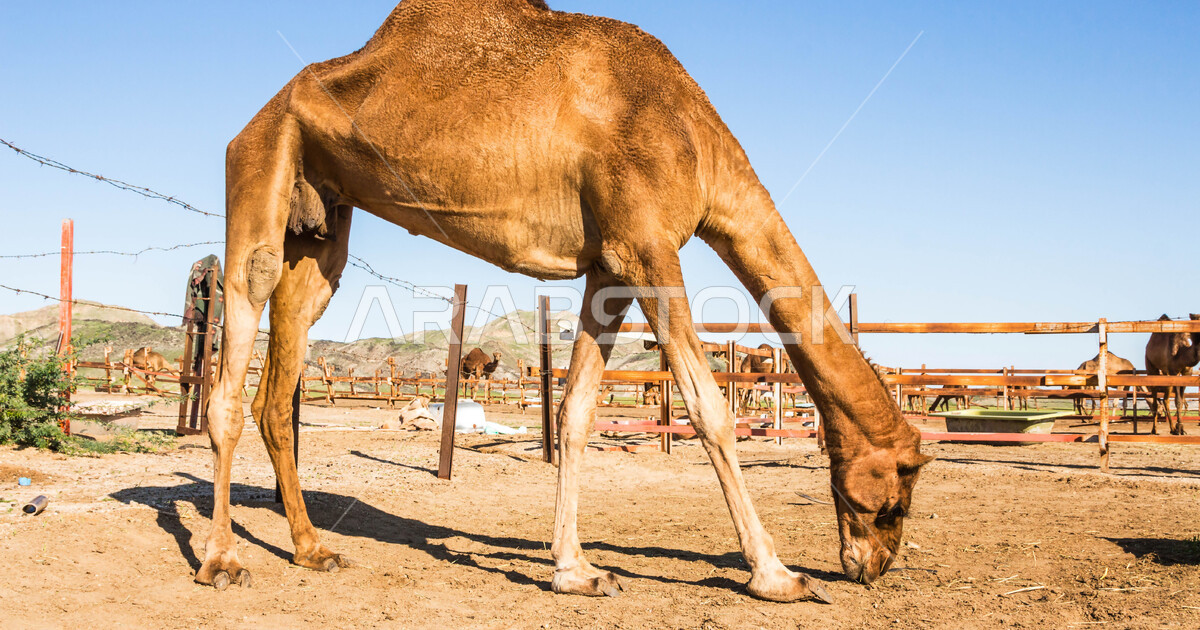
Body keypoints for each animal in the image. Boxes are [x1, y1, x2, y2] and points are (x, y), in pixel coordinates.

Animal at [200, 0, 932, 601]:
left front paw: (575, 570)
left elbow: (576, 410)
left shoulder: (610, 264)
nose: (872, 565)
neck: (696, 142)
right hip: (263, 164)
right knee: (235, 356)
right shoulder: (646, 246)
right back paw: (222, 561)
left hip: (320, 227)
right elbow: (708, 406)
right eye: (898, 491)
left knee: (279, 382)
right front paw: (778, 576)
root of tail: (256, 117)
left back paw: (312, 549)